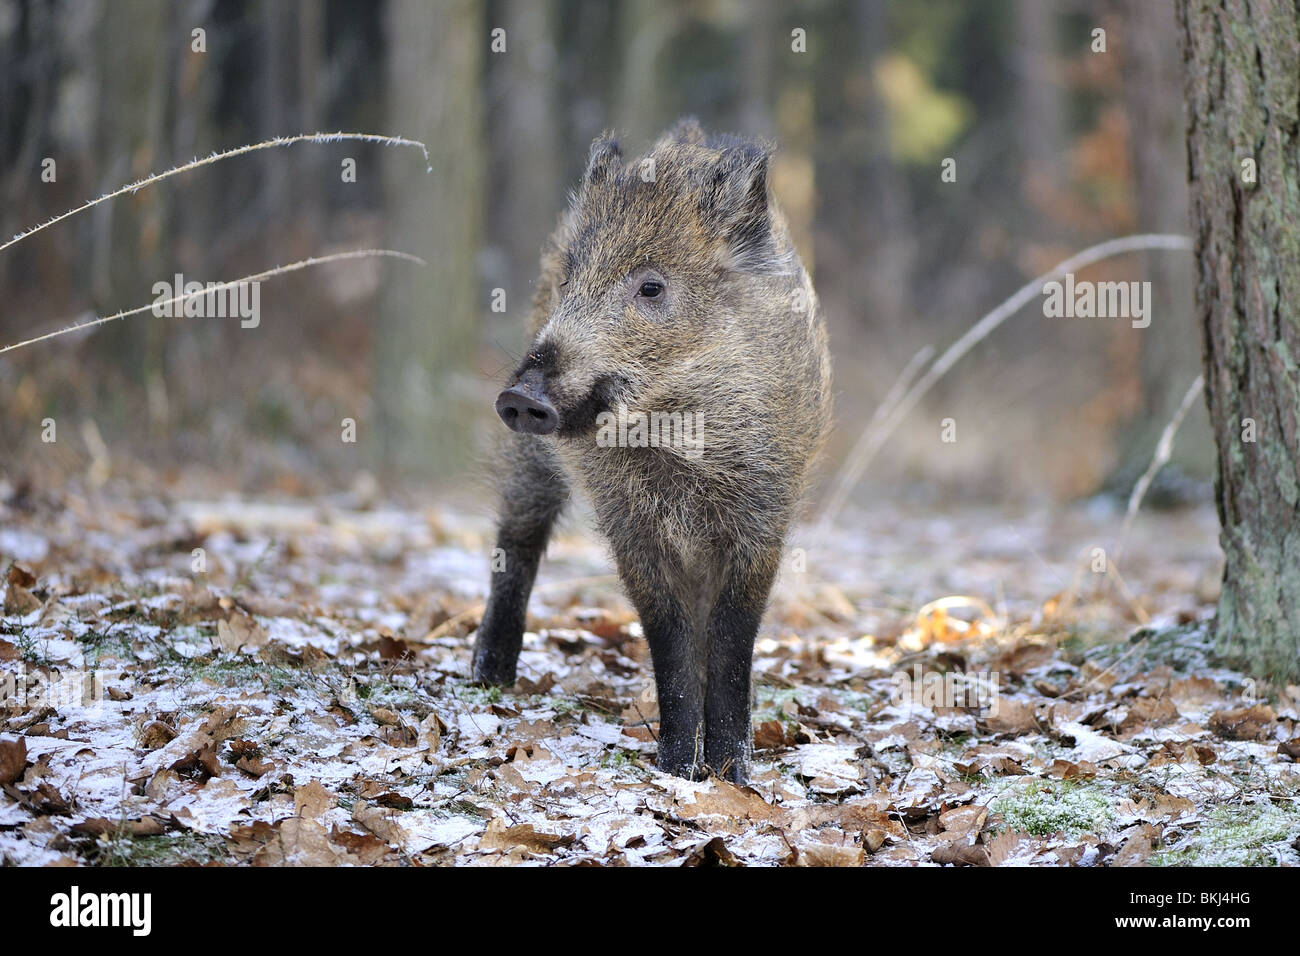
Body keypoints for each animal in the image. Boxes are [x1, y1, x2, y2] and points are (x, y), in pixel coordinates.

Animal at [473, 118, 831, 783]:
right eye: (570, 278)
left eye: (651, 287)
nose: (518, 397)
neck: (676, 438)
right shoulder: (627, 520)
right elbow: (666, 633)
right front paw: (677, 770)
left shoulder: (763, 511)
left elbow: (730, 637)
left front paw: (730, 774)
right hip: (528, 460)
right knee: (519, 539)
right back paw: (490, 679)